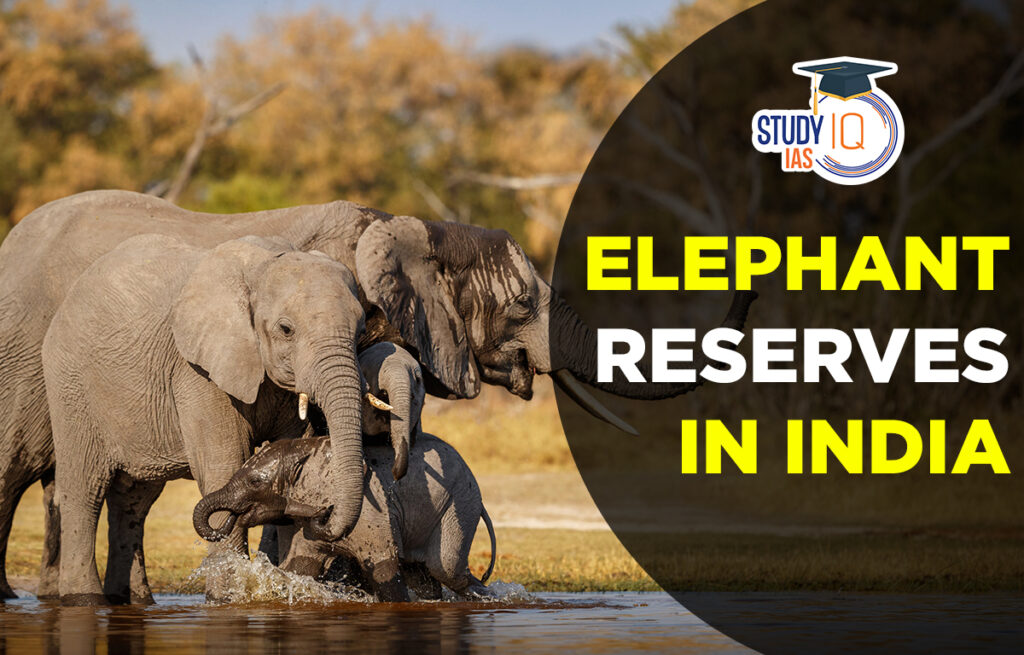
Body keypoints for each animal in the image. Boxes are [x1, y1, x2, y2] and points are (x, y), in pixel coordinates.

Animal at [41, 233, 380, 605]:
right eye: (286, 329)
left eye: (361, 330)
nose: (325, 514)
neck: (262, 267)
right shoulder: (196, 372)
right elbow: (223, 464)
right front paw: (228, 599)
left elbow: (289, 460)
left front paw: (286, 591)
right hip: (71, 384)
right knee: (84, 489)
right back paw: (84, 600)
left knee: (134, 500)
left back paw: (134, 600)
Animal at [194, 433, 496, 602]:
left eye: (255, 482)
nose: (232, 517)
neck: (305, 449)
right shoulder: (305, 526)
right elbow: (300, 568)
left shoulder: (372, 511)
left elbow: (385, 570)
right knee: (423, 575)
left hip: (460, 502)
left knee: (445, 569)